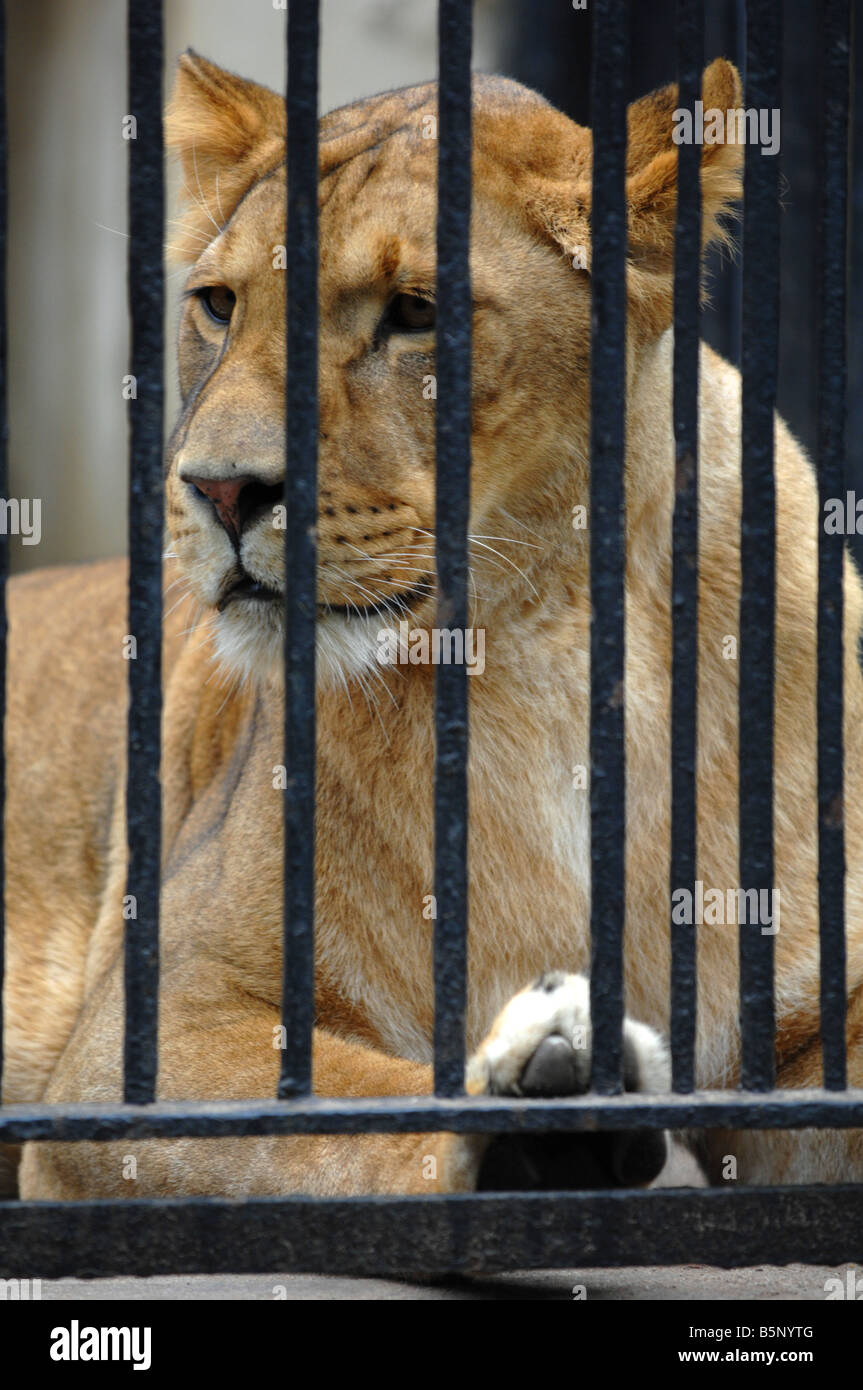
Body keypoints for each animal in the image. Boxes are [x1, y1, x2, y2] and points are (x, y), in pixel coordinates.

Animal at [4, 52, 863, 1204]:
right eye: (219, 306)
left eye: (413, 313)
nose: (219, 490)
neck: (546, 634)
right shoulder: (144, 1036)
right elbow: (350, 1106)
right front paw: (538, 1100)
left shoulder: (812, 1036)